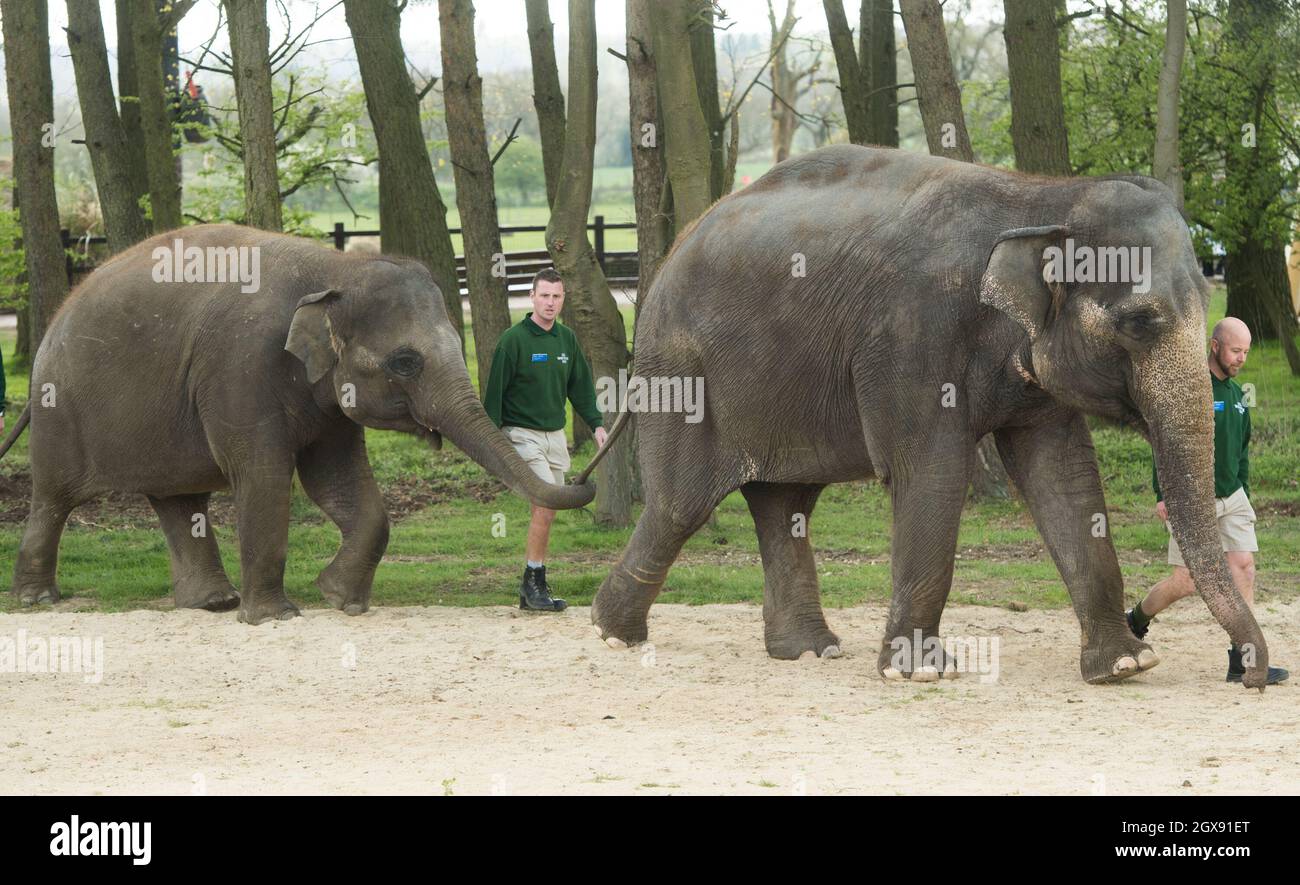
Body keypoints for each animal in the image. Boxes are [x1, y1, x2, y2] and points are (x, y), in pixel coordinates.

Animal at [2, 224, 595, 624]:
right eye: (406, 362)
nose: (585, 473)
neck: (333, 271)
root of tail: (56, 317)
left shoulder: (324, 395)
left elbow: (338, 480)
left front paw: (340, 600)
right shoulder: (239, 366)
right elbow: (264, 476)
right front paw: (277, 617)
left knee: (179, 500)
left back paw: (213, 604)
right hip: (59, 411)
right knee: (55, 497)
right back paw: (37, 599)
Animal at [589, 144, 1271, 688]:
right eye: (1139, 321)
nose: (1253, 676)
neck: (1042, 194)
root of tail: (669, 253)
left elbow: (1064, 477)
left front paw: (1126, 666)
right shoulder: (911, 336)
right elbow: (932, 474)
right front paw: (917, 672)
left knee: (786, 506)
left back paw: (809, 653)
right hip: (682, 374)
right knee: (681, 505)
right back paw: (613, 635)